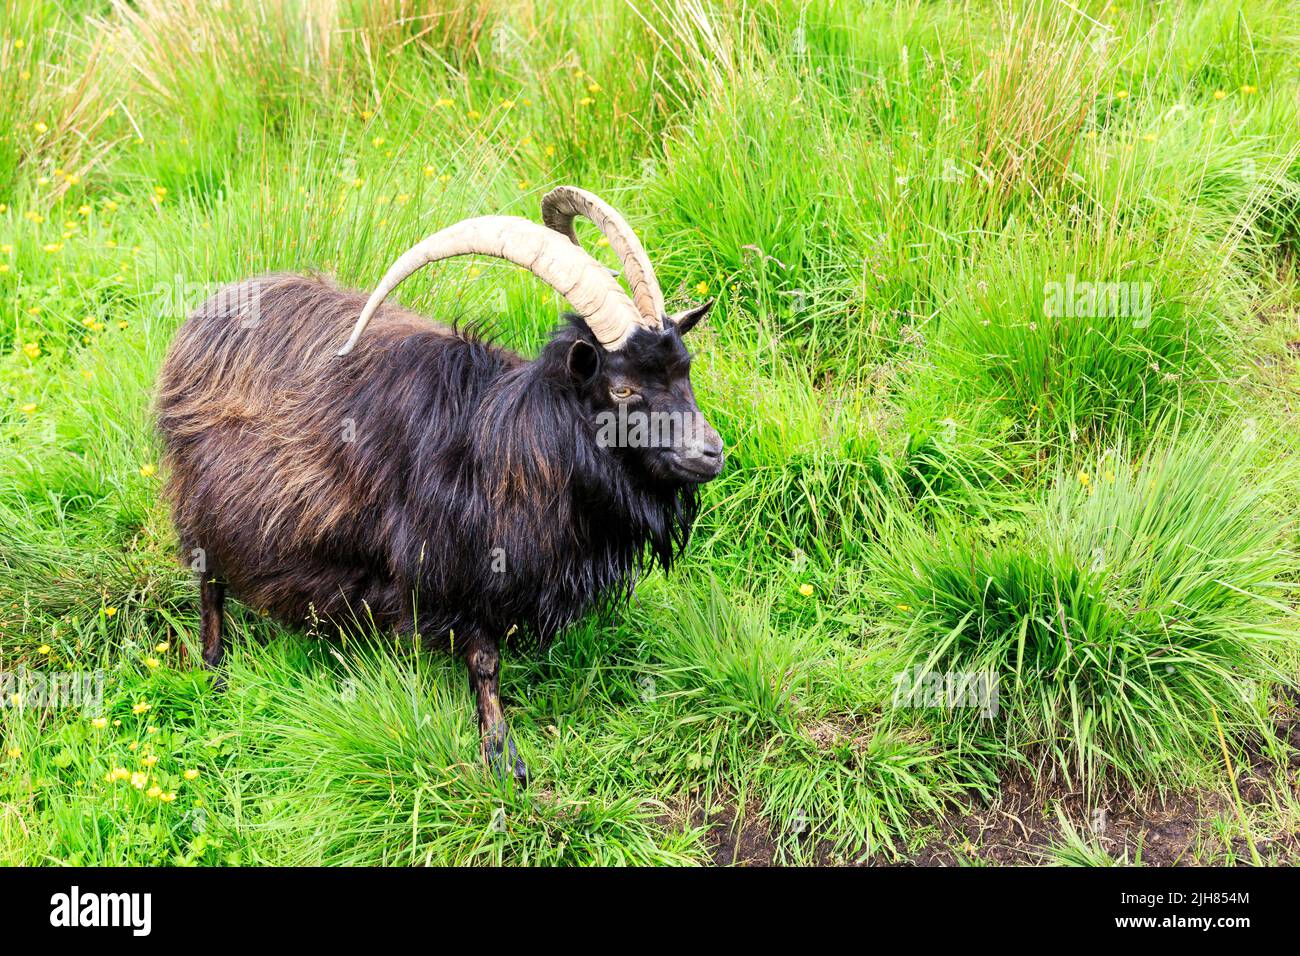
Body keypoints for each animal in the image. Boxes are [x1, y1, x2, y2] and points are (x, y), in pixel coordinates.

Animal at [156, 187, 723, 784]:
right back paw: (215, 668)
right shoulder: (454, 565)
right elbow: (485, 661)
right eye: (621, 388)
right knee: (209, 581)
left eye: (685, 368)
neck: (508, 440)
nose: (711, 452)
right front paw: (504, 760)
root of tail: (208, 314)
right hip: (204, 501)